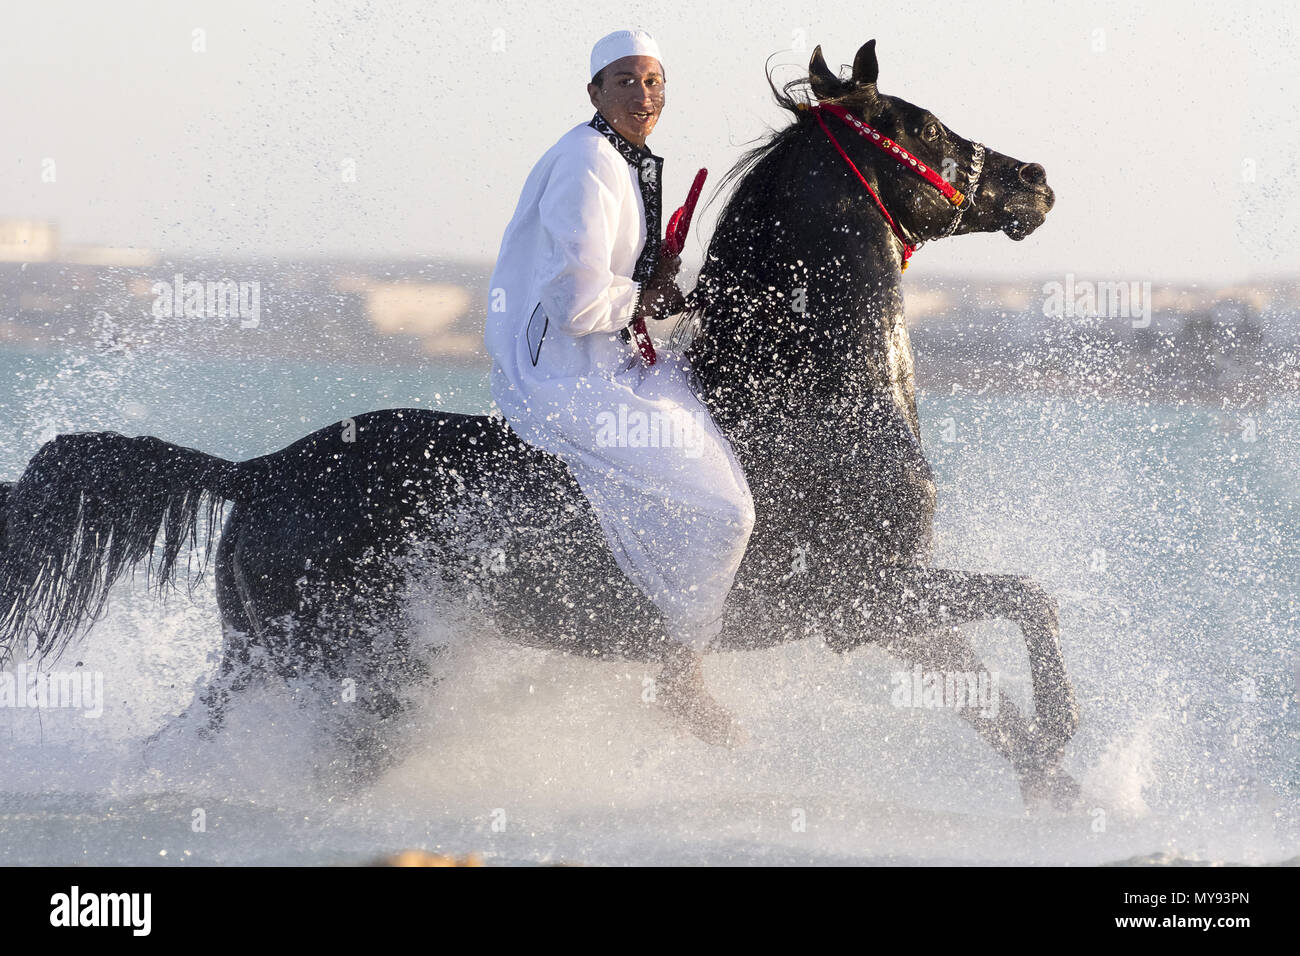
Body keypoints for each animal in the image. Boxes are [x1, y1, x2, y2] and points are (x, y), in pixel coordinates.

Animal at [0, 39, 1078, 806]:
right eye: (923, 126)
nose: (1035, 177)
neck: (808, 394)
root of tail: (257, 470)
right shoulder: (860, 597)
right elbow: (1030, 599)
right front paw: (1067, 736)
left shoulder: (881, 607)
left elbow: (981, 688)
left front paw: (1054, 778)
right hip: (343, 671)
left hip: (272, 663)